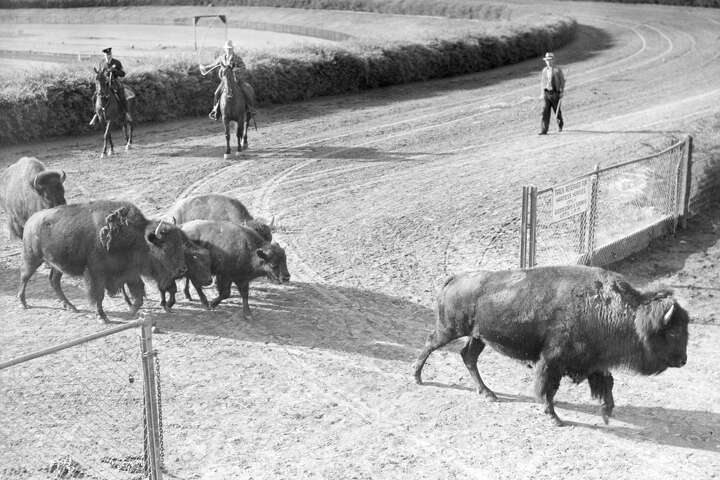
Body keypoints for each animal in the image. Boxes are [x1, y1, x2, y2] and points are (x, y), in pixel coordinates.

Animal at [18, 200, 187, 322]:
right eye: (165, 248)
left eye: (181, 243)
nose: (182, 270)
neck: (136, 238)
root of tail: (31, 221)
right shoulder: (96, 274)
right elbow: (98, 295)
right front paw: (102, 317)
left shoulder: (129, 273)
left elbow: (138, 296)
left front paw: (131, 311)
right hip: (33, 258)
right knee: (25, 277)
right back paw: (24, 303)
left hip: (57, 265)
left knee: (54, 281)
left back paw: (71, 306)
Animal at [413, 265, 689, 426]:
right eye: (673, 332)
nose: (683, 360)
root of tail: (456, 278)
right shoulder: (553, 362)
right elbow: (548, 389)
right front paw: (555, 418)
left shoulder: (594, 363)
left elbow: (606, 384)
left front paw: (606, 413)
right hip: (450, 330)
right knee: (430, 344)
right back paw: (417, 377)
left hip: (478, 337)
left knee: (468, 356)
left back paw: (488, 393)